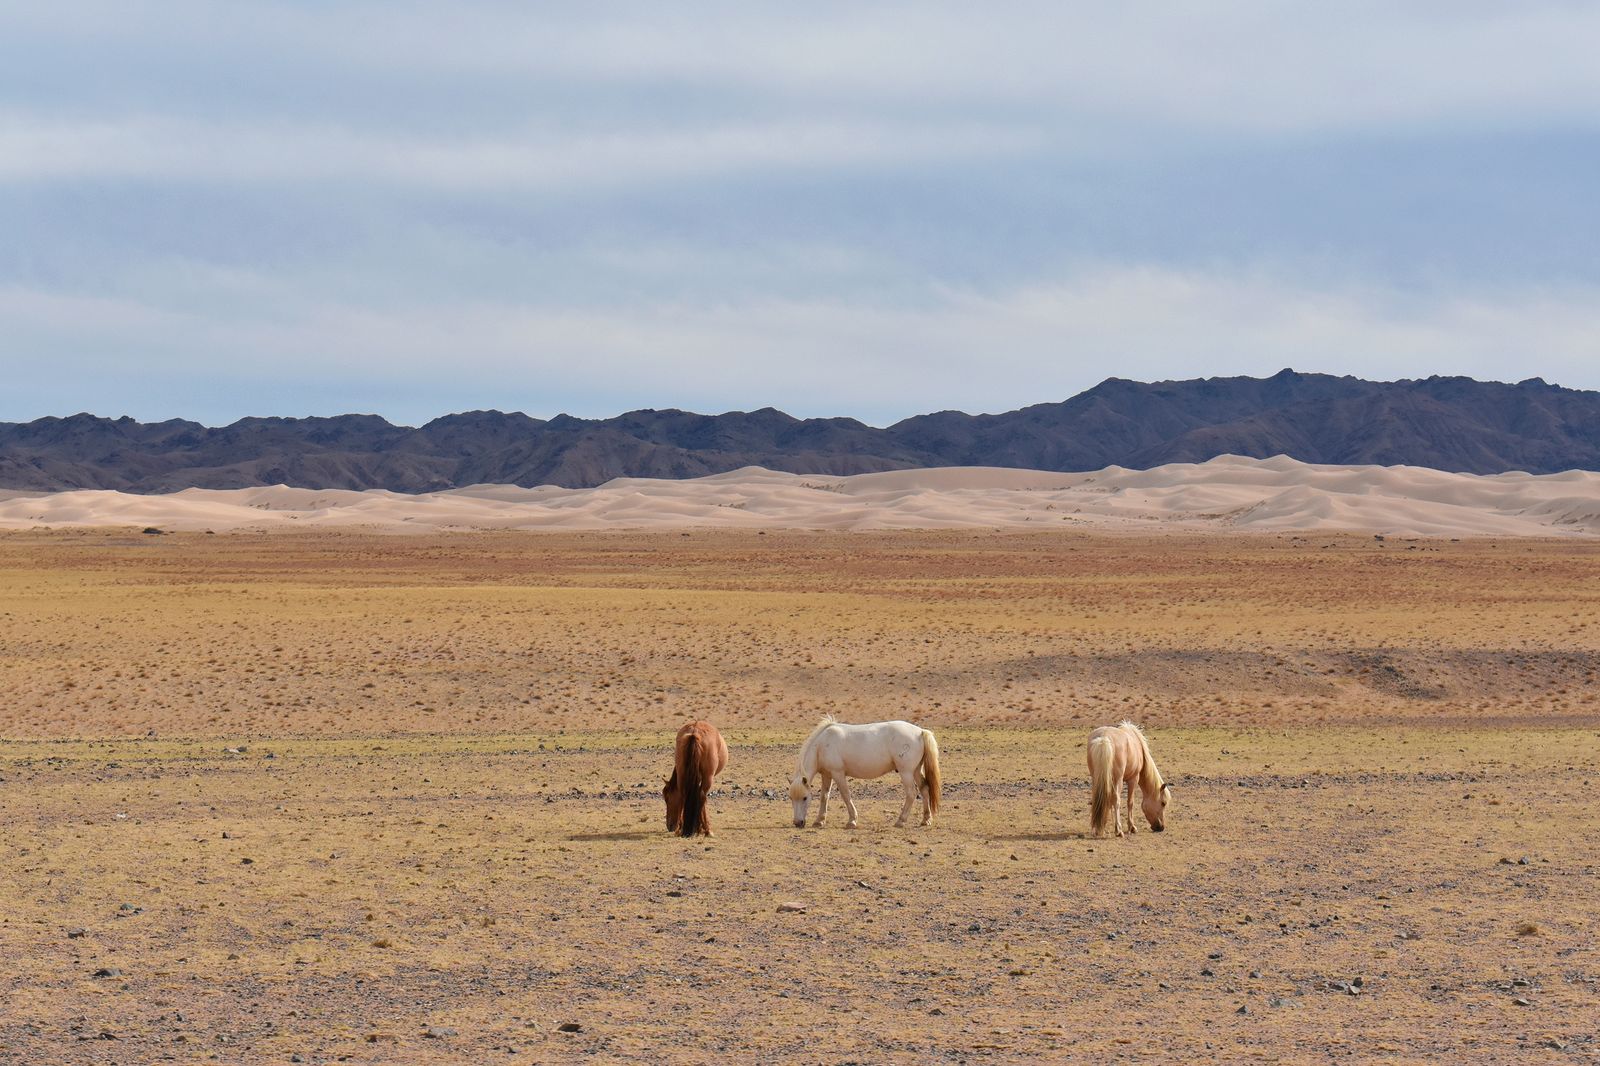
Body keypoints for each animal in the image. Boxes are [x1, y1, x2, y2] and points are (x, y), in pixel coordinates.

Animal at [787, 717, 934, 825]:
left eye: (805, 798)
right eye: (791, 798)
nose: (798, 823)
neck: (821, 745)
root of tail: (920, 731)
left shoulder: (838, 774)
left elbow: (846, 795)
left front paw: (852, 820)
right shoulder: (827, 775)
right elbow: (824, 796)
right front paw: (819, 821)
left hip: (906, 772)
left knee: (911, 793)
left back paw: (901, 821)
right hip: (916, 771)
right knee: (924, 789)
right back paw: (926, 820)